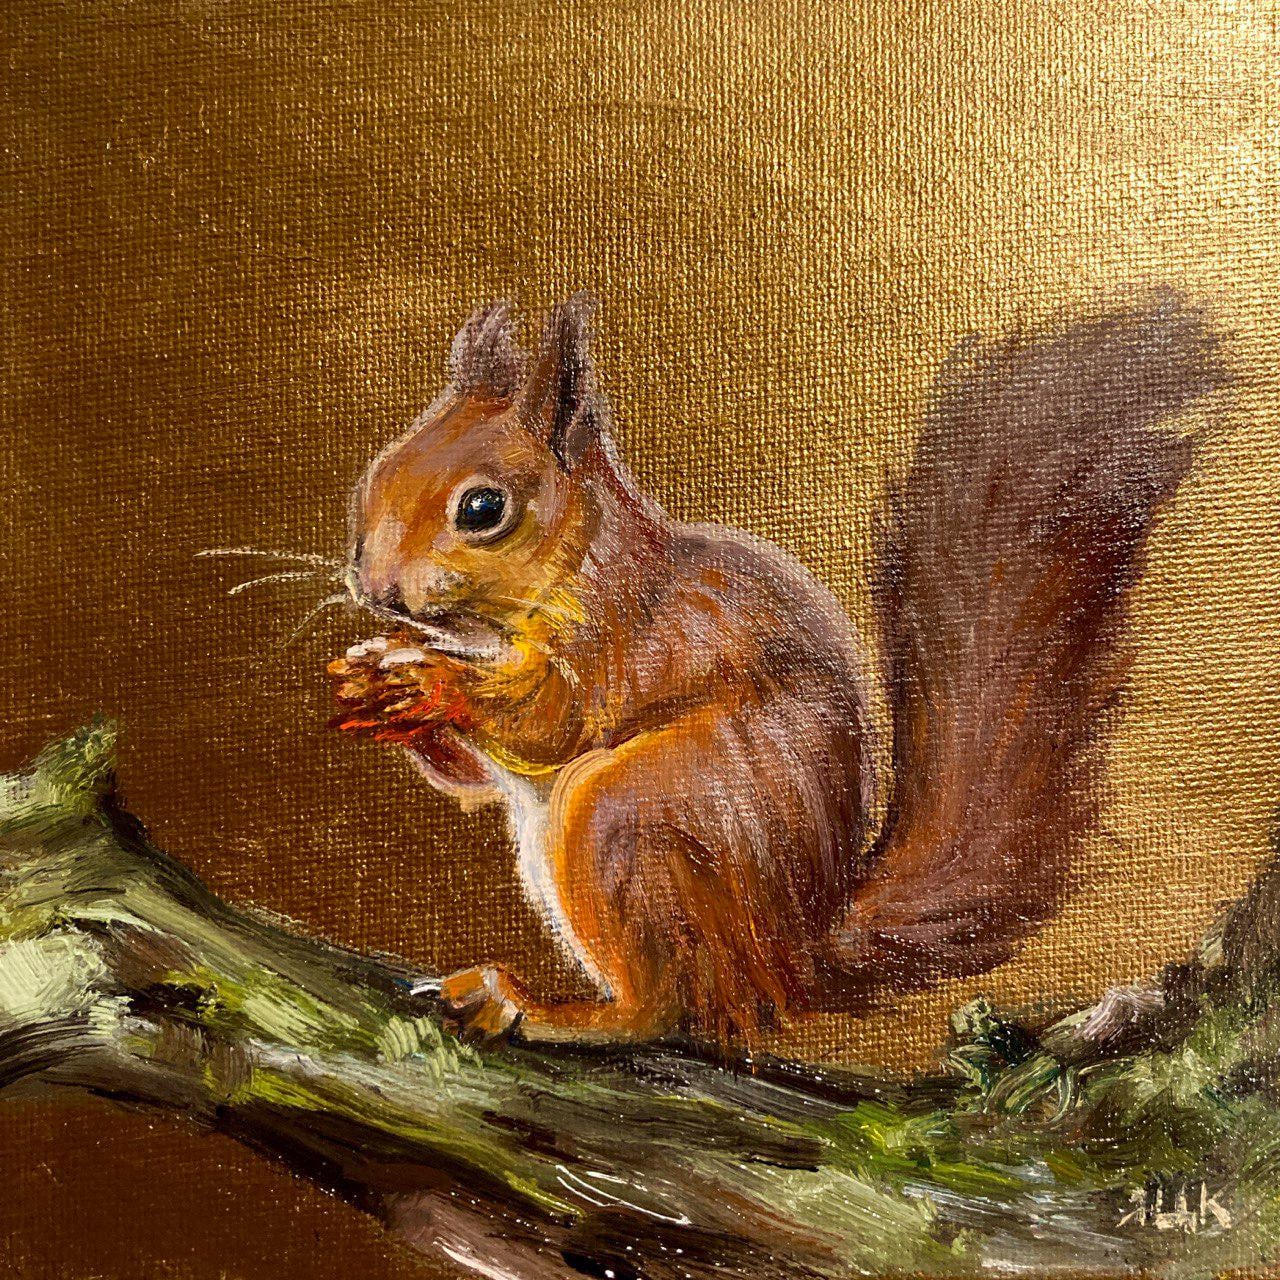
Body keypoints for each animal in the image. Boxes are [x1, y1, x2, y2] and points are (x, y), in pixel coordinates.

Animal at [329, 291, 1225, 1047]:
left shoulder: (620, 641)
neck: (575, 563)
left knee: (669, 1009)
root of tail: (796, 953)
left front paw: (428, 680)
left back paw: (536, 1006)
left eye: (483, 509)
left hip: (632, 822)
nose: (375, 589)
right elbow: (474, 780)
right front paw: (377, 679)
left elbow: (551, 722)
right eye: (374, 476)